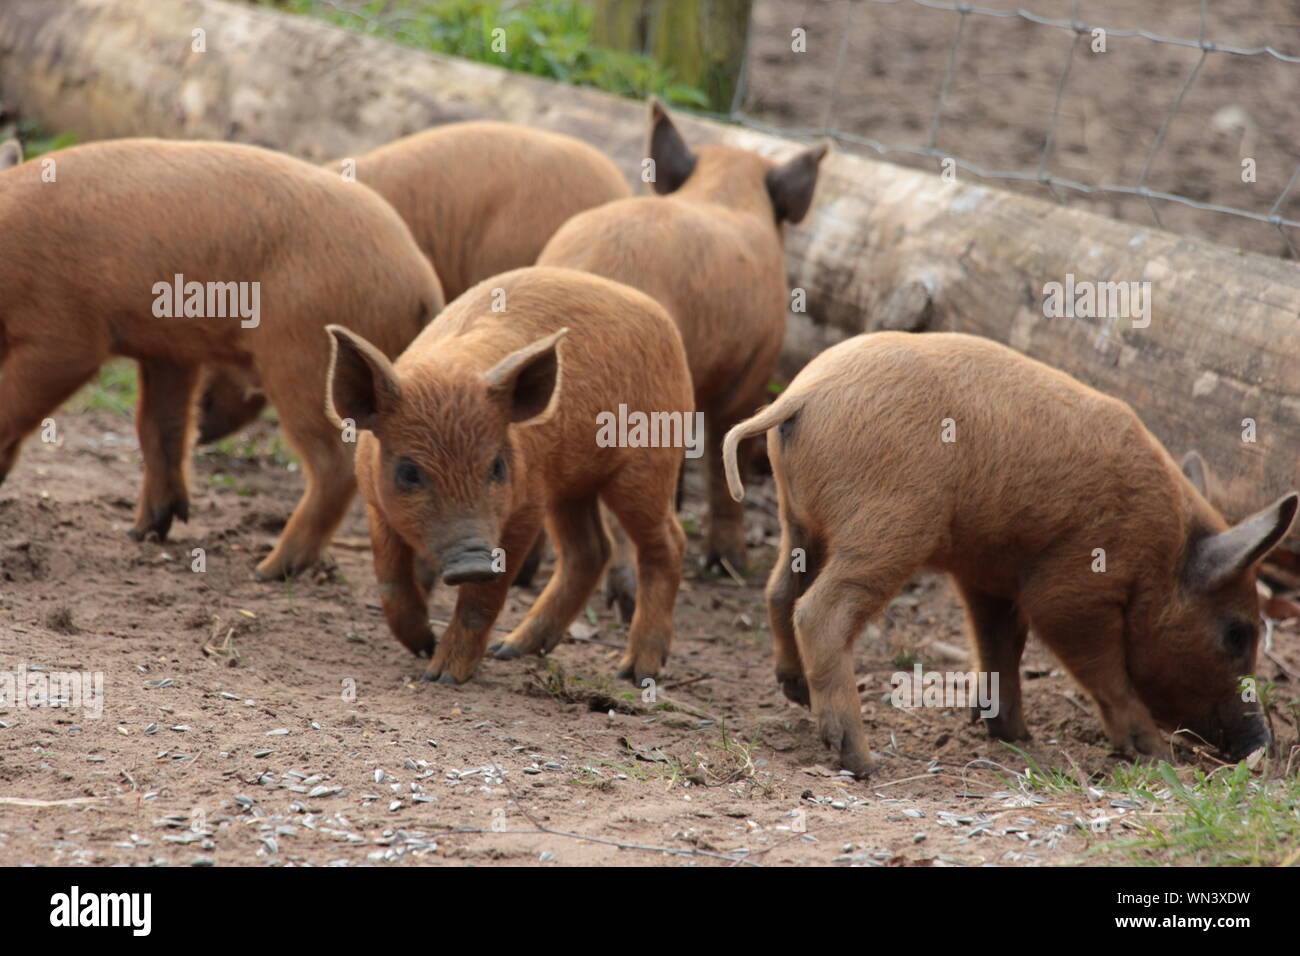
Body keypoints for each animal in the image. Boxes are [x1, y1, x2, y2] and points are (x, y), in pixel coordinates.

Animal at [0, 138, 443, 580]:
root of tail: (423, 286)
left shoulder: (66, 337)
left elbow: (14, 404)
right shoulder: (167, 353)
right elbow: (159, 427)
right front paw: (142, 533)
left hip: (303, 358)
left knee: (335, 462)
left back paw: (267, 569)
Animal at [327, 266, 692, 684]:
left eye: (497, 465)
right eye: (409, 472)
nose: (472, 560)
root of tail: (657, 313)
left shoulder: (526, 507)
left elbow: (483, 599)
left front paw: (443, 675)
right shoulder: (375, 503)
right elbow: (390, 581)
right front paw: (423, 646)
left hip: (648, 464)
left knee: (667, 543)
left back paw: (634, 672)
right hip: (569, 486)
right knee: (591, 549)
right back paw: (509, 650)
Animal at [723, 331, 1297, 777]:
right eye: (1237, 634)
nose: (1262, 744)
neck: (1163, 551)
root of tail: (802, 393)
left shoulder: (988, 578)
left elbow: (1002, 644)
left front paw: (1014, 734)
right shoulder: (1072, 589)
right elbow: (1102, 669)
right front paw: (1155, 755)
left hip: (800, 524)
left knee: (778, 592)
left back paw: (797, 692)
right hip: (886, 527)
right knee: (819, 611)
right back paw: (861, 762)